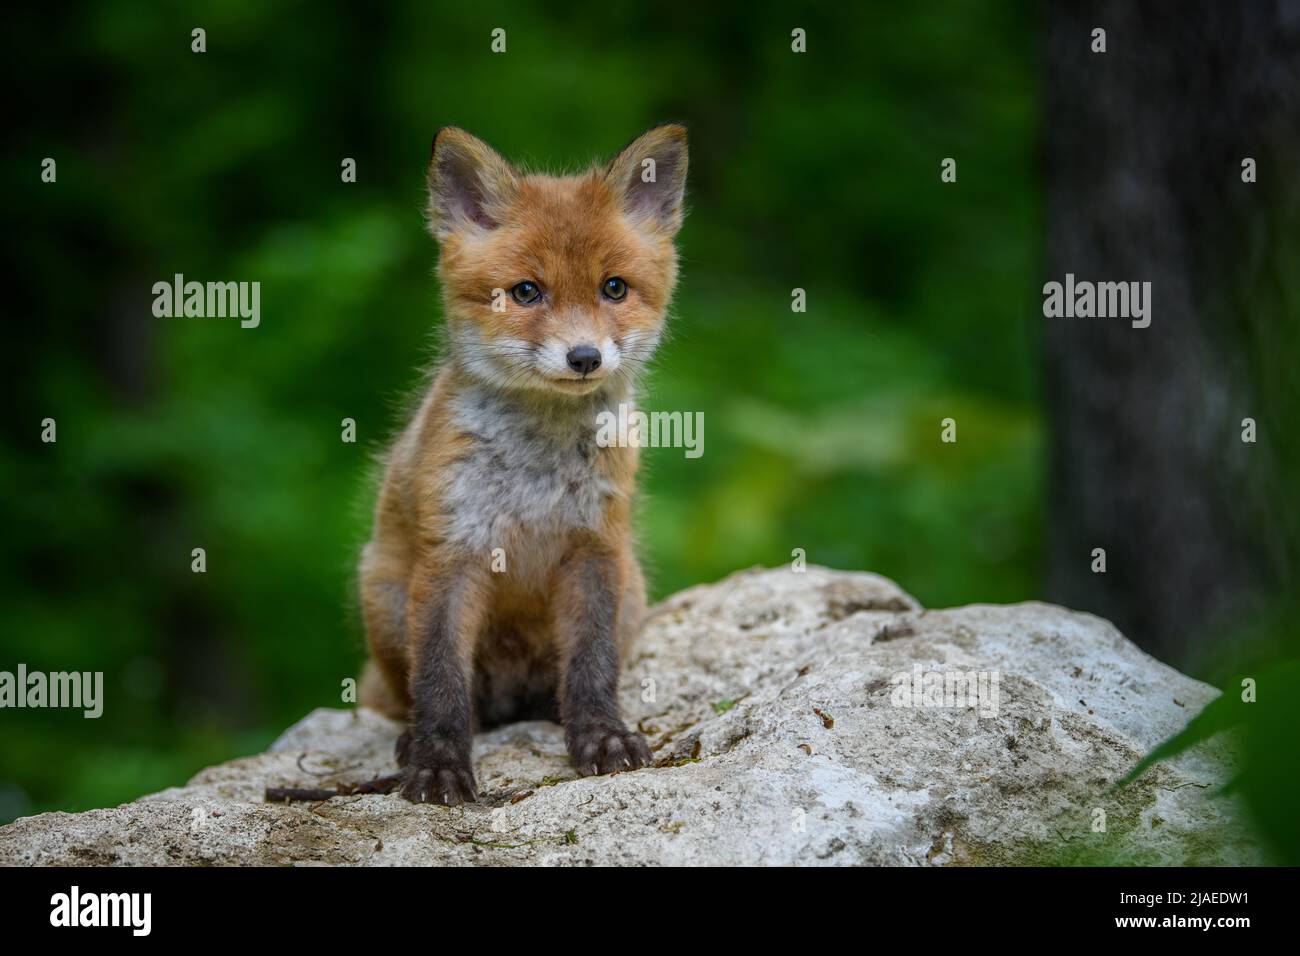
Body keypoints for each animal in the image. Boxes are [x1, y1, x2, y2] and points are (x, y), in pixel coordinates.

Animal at [357, 124, 688, 805]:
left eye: (614, 288)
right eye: (526, 292)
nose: (584, 357)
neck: (537, 470)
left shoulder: (595, 547)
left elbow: (592, 666)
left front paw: (601, 737)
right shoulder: (452, 552)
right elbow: (440, 681)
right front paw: (437, 763)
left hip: (632, 589)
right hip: (382, 593)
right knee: (421, 698)